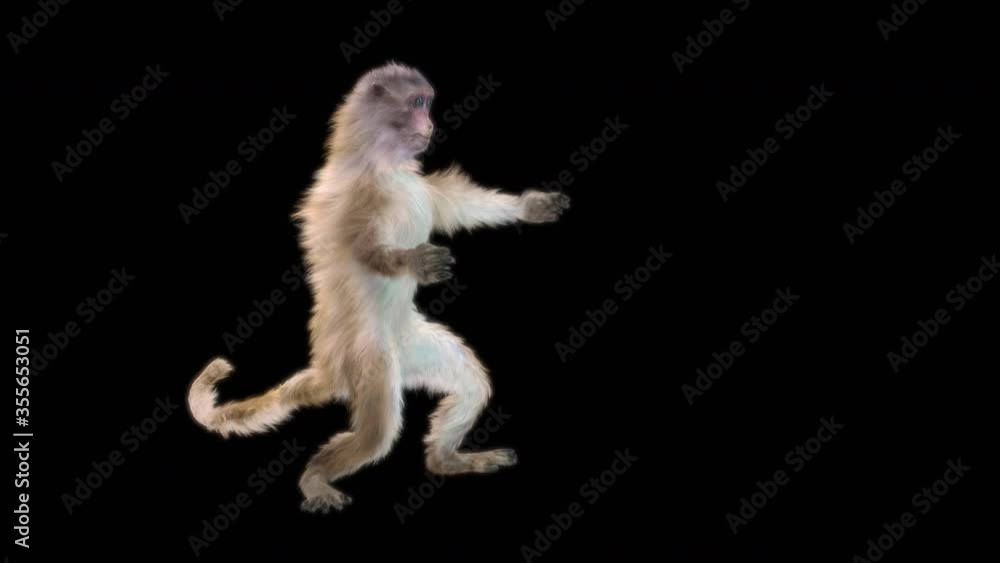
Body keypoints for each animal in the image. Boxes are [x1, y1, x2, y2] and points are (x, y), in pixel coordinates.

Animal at [187, 62, 569, 513]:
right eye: (417, 104)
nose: (430, 123)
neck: (382, 163)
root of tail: (329, 364)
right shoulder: (360, 196)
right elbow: (367, 251)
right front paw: (409, 263)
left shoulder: (413, 186)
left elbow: (457, 205)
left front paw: (527, 207)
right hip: (367, 358)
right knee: (376, 434)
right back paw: (316, 478)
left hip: (410, 349)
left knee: (470, 383)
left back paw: (445, 461)